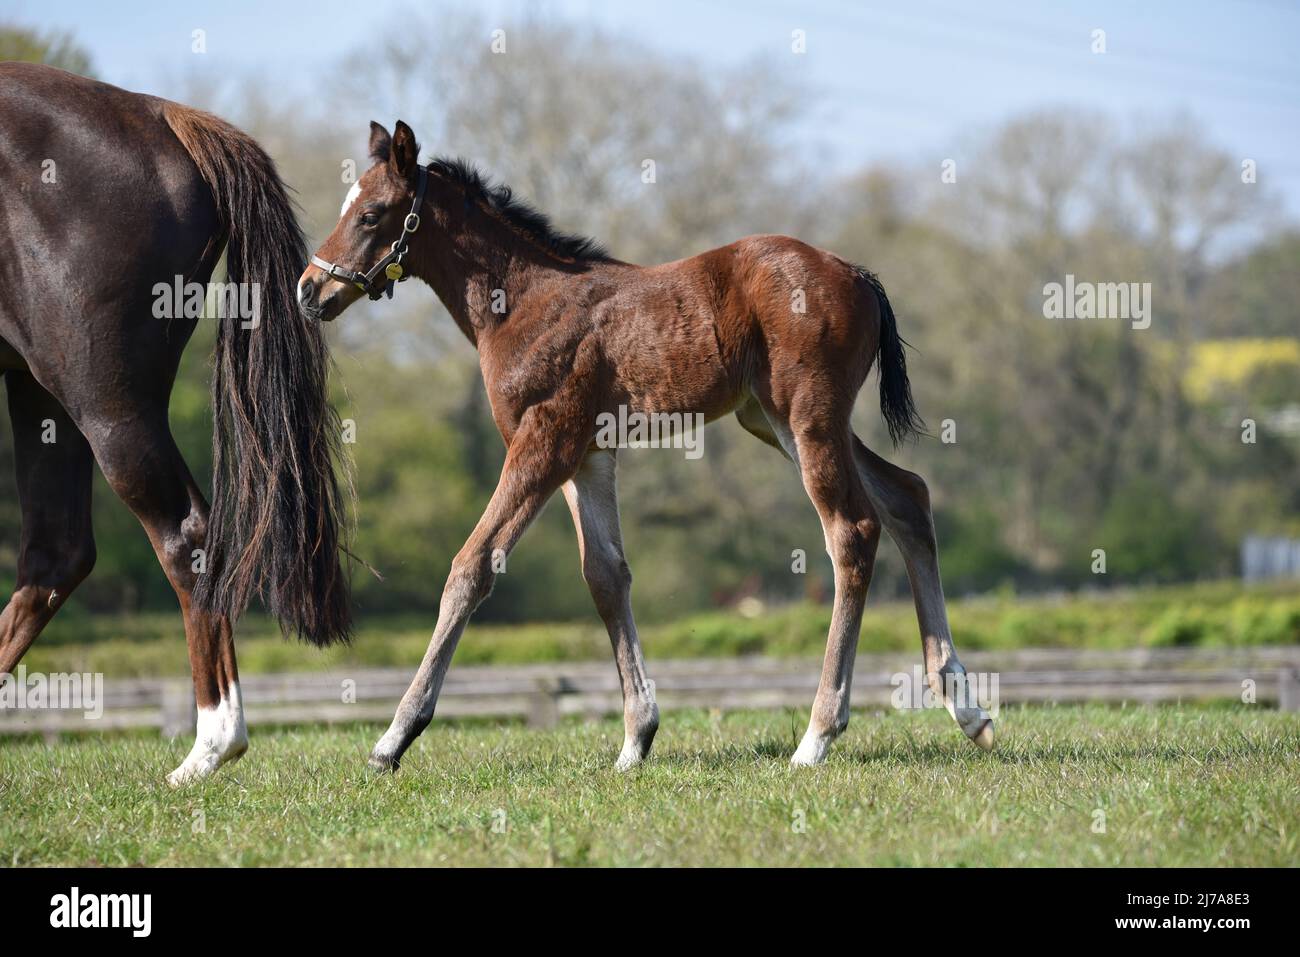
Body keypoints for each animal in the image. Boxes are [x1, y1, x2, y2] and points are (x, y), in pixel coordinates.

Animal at [0, 63, 351, 784]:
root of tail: (165, 117)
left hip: (104, 404)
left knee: (183, 537)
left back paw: (211, 744)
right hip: (42, 392)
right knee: (54, 553)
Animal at [299, 119, 995, 772]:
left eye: (370, 213)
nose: (310, 289)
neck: (520, 302)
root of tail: (856, 274)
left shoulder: (544, 441)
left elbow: (472, 567)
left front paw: (393, 738)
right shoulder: (587, 453)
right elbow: (605, 575)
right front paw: (636, 739)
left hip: (807, 415)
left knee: (851, 529)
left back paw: (817, 736)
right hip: (771, 419)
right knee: (907, 496)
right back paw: (966, 708)